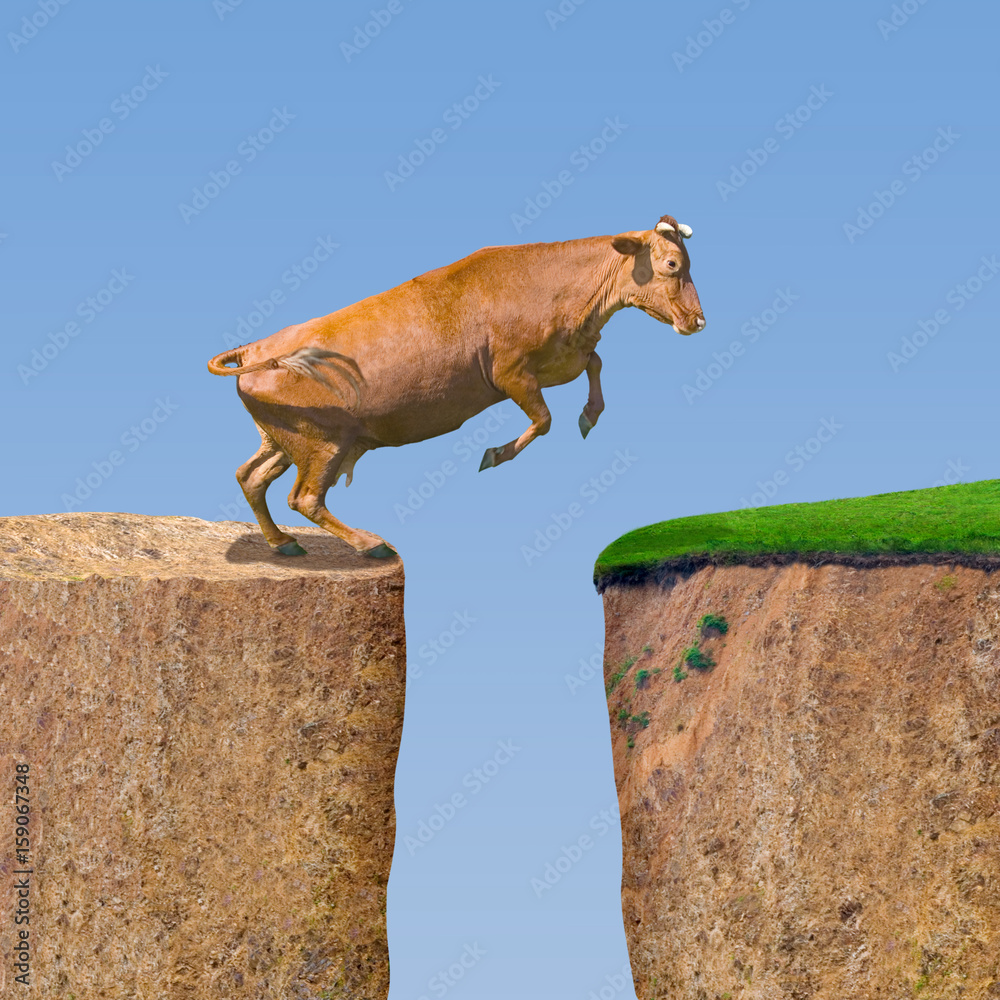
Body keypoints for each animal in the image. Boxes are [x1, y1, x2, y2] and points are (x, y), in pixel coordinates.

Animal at [207, 215, 704, 558]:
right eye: (672, 264)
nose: (698, 321)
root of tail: (255, 348)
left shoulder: (564, 356)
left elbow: (595, 364)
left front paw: (589, 415)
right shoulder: (511, 372)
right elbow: (544, 419)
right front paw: (495, 454)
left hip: (286, 438)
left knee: (250, 477)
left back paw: (282, 542)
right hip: (325, 442)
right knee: (304, 497)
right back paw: (370, 543)